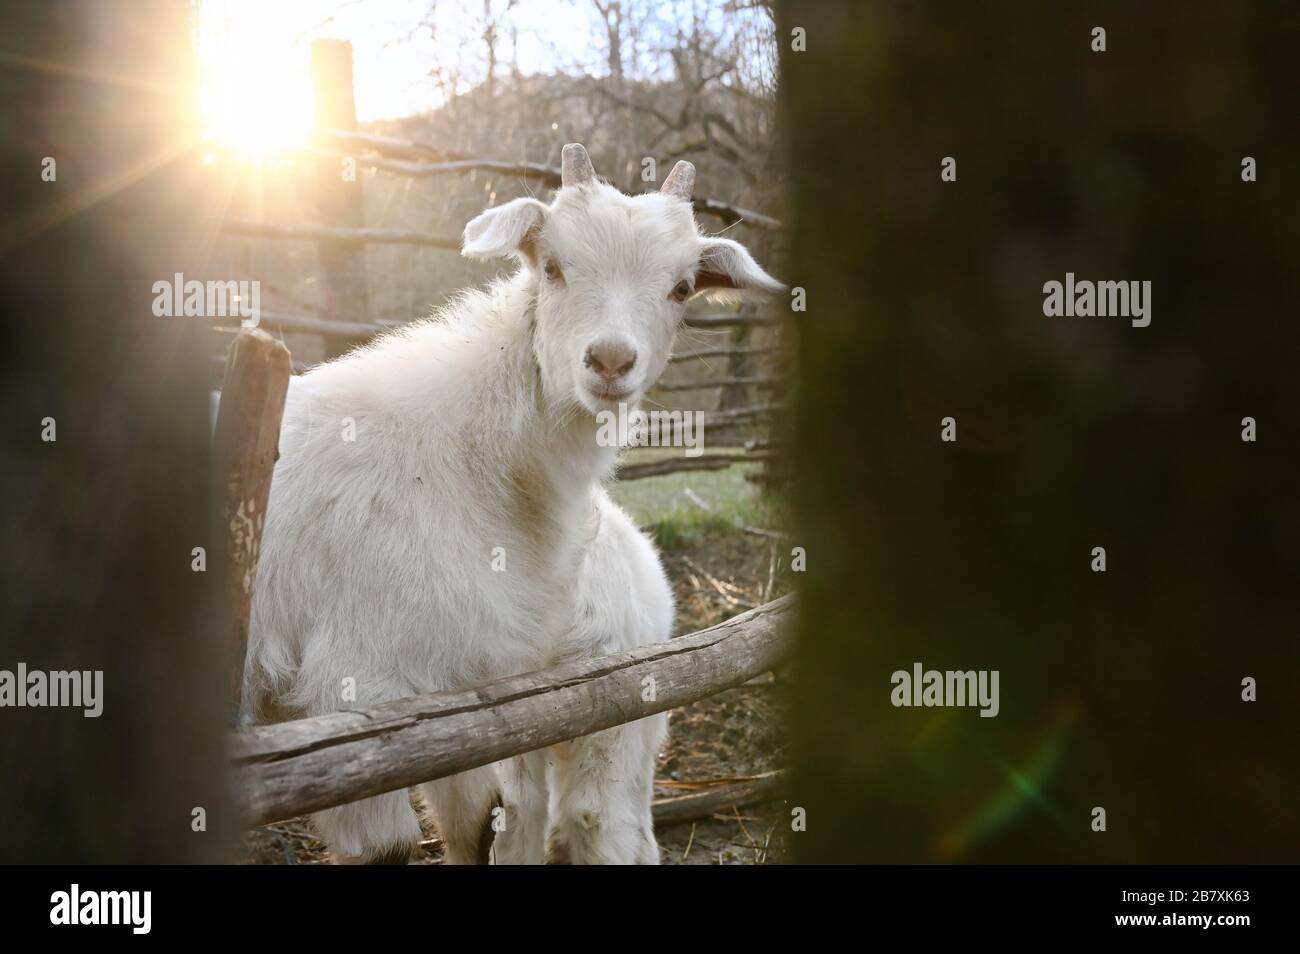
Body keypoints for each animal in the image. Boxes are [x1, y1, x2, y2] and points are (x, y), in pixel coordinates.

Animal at [243, 143, 783, 864]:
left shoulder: (459, 699)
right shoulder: (357, 685)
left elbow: (480, 826)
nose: (610, 361)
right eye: (551, 266)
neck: (467, 459)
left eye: (681, 287)